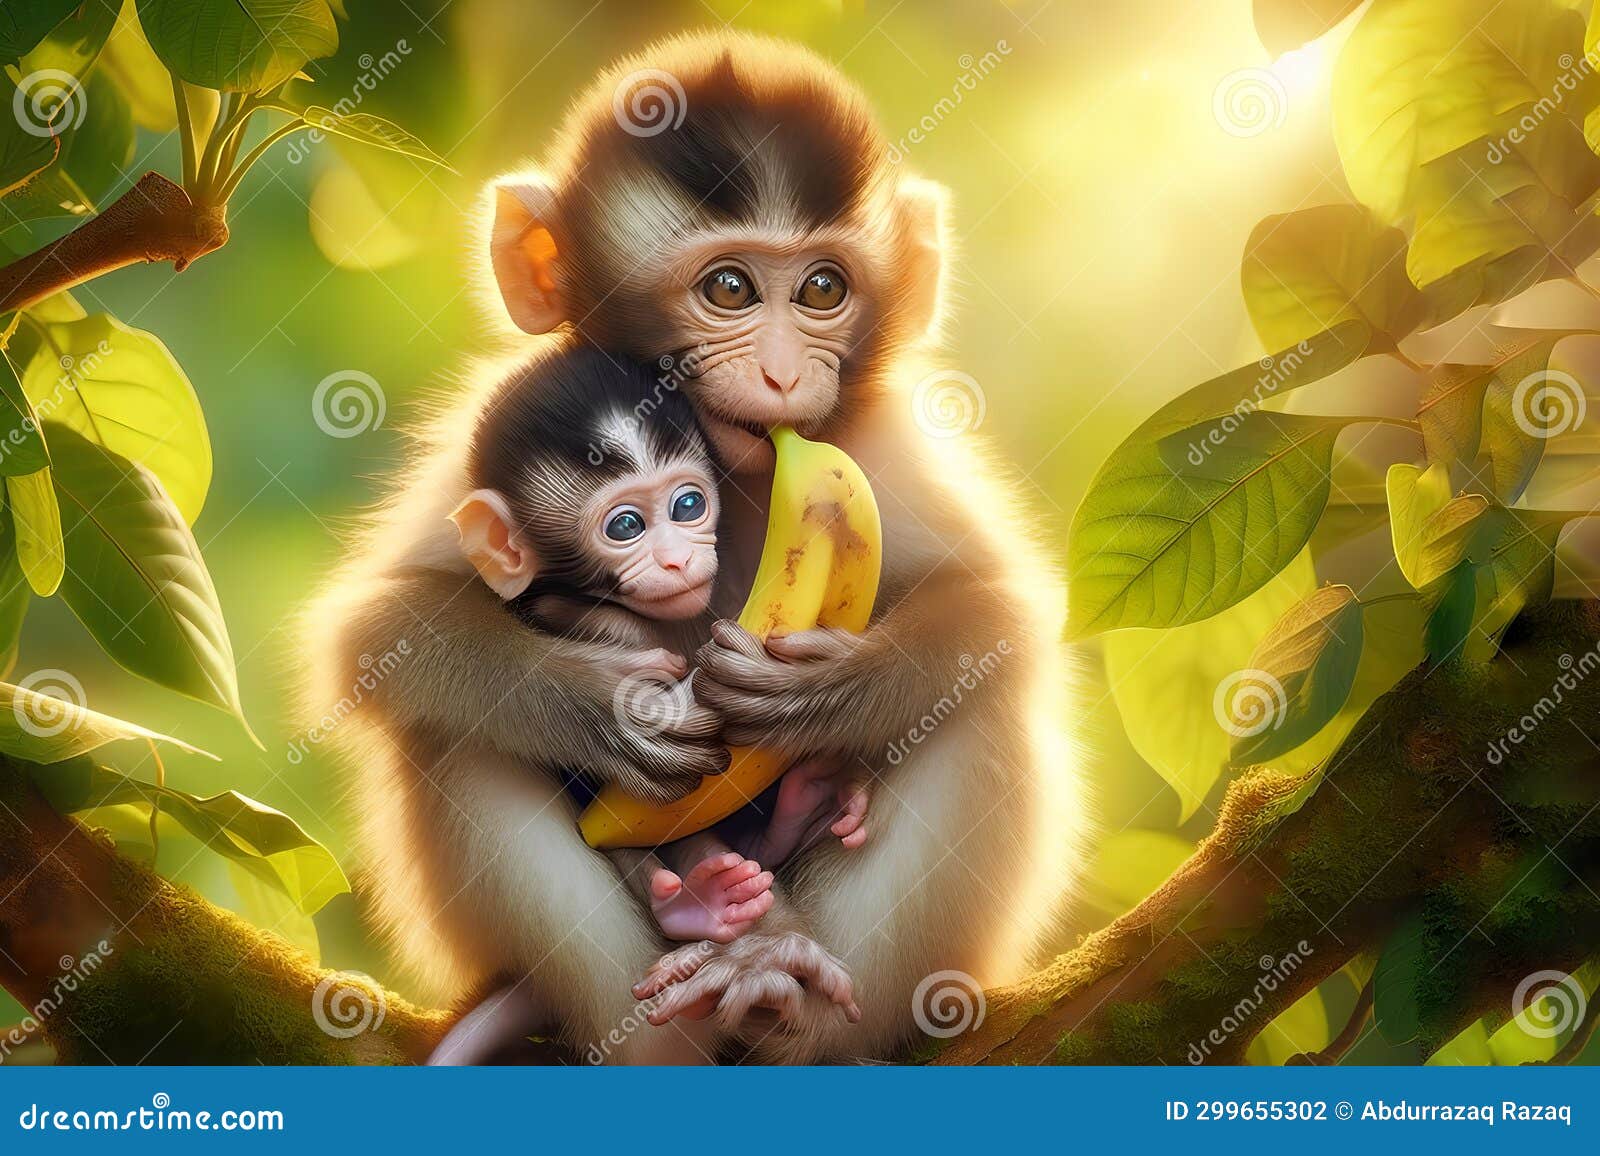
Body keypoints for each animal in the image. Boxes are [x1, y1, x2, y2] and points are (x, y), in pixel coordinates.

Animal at [308, 29, 1086, 1065]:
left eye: (822, 289)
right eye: (728, 288)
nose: (784, 375)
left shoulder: (880, 440)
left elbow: (998, 603)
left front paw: (827, 692)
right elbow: (379, 626)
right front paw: (605, 708)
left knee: (977, 702)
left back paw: (786, 987)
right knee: (448, 728)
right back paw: (683, 983)